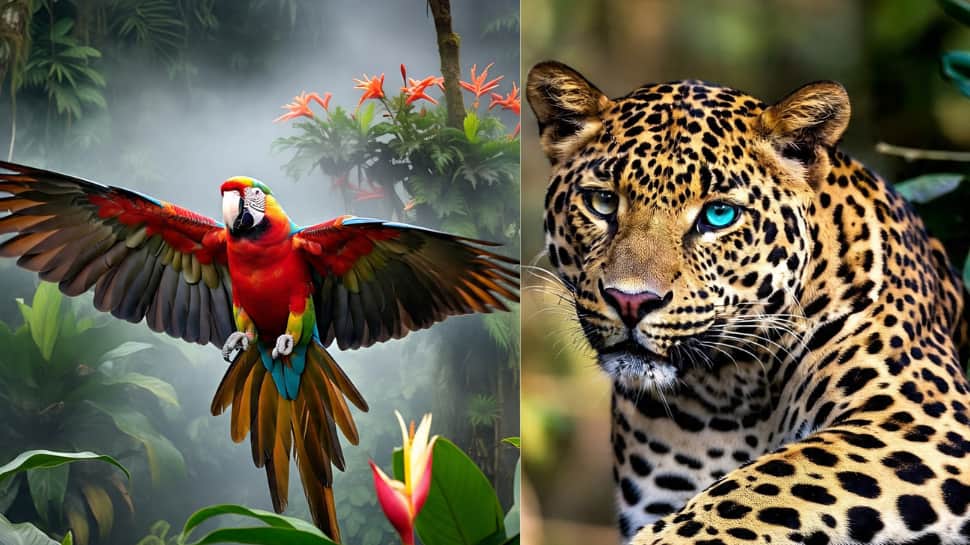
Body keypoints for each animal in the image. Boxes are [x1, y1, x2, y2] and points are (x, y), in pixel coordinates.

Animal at [526, 60, 970, 545]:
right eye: (603, 201)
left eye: (719, 215)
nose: (630, 301)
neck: (732, 391)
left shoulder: (922, 421)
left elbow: (764, 485)